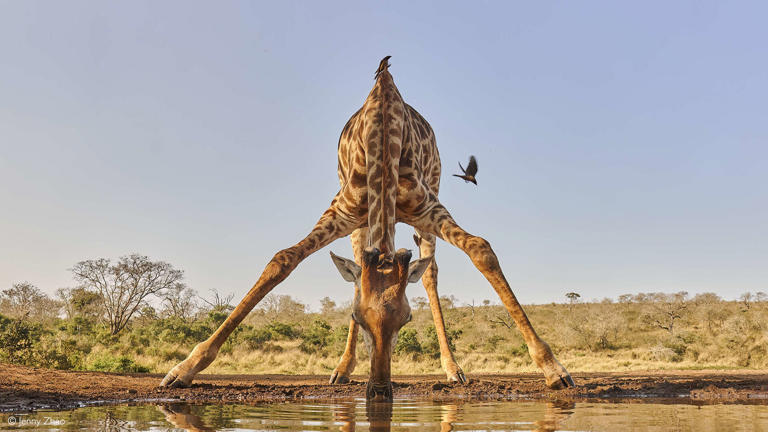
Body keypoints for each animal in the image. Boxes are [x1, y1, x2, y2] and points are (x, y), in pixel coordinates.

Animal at [160, 56, 574, 396]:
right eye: (359, 318)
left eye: (407, 319)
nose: (379, 389)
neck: (383, 132)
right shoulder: (341, 211)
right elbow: (283, 260)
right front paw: (184, 369)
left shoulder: (427, 205)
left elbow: (480, 248)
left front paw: (553, 368)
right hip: (359, 224)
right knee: (358, 266)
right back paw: (342, 370)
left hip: (428, 202)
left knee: (430, 273)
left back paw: (452, 369)